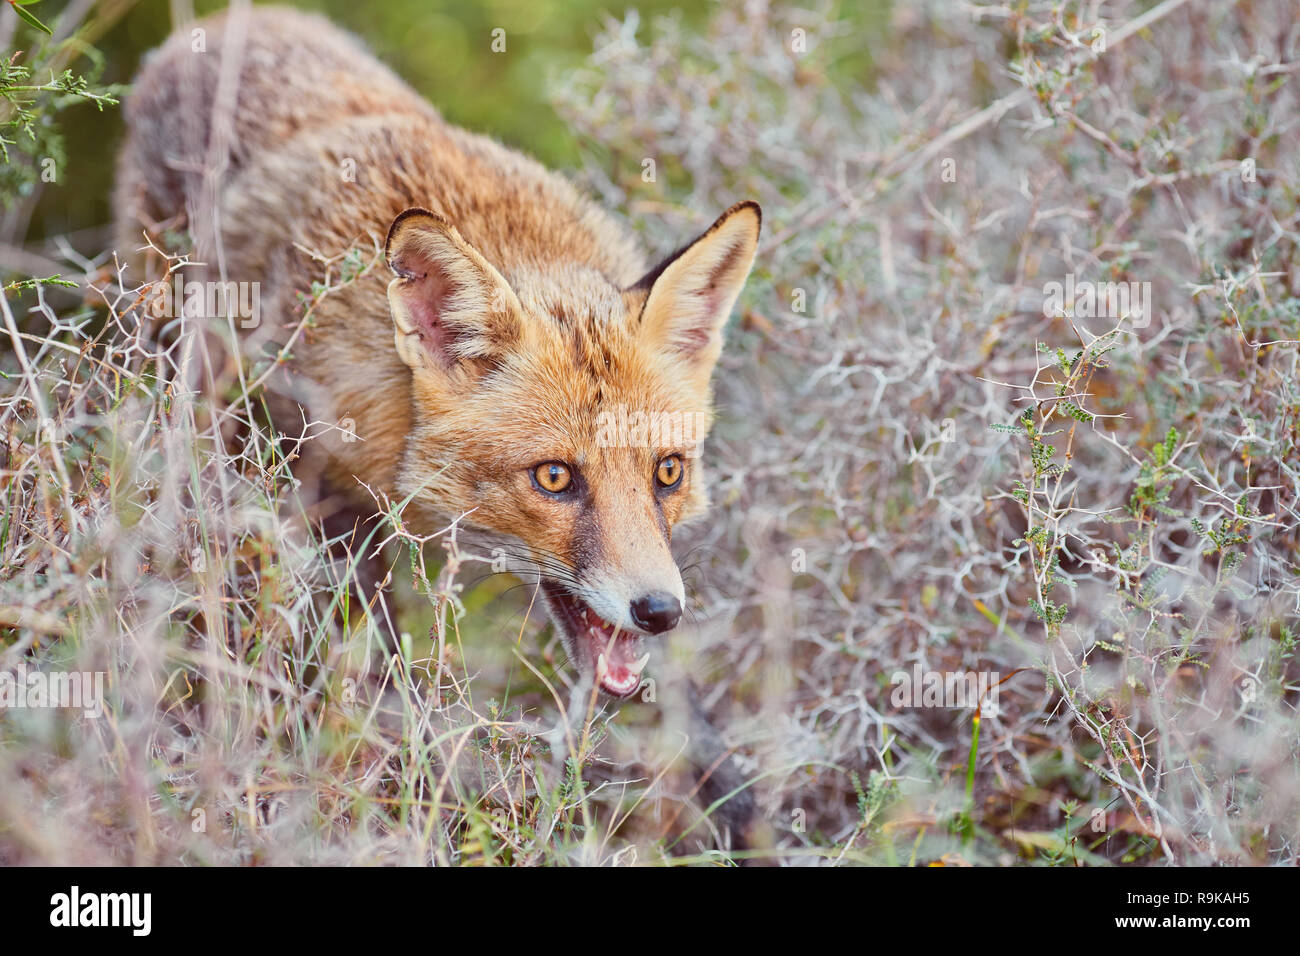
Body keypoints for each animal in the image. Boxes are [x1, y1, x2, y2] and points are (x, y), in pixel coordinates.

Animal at [113, 5, 760, 828]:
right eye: (555, 478)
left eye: (668, 473)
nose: (658, 611)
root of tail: (233, 22)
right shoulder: (327, 495)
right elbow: (375, 669)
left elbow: (694, 717)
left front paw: (745, 815)